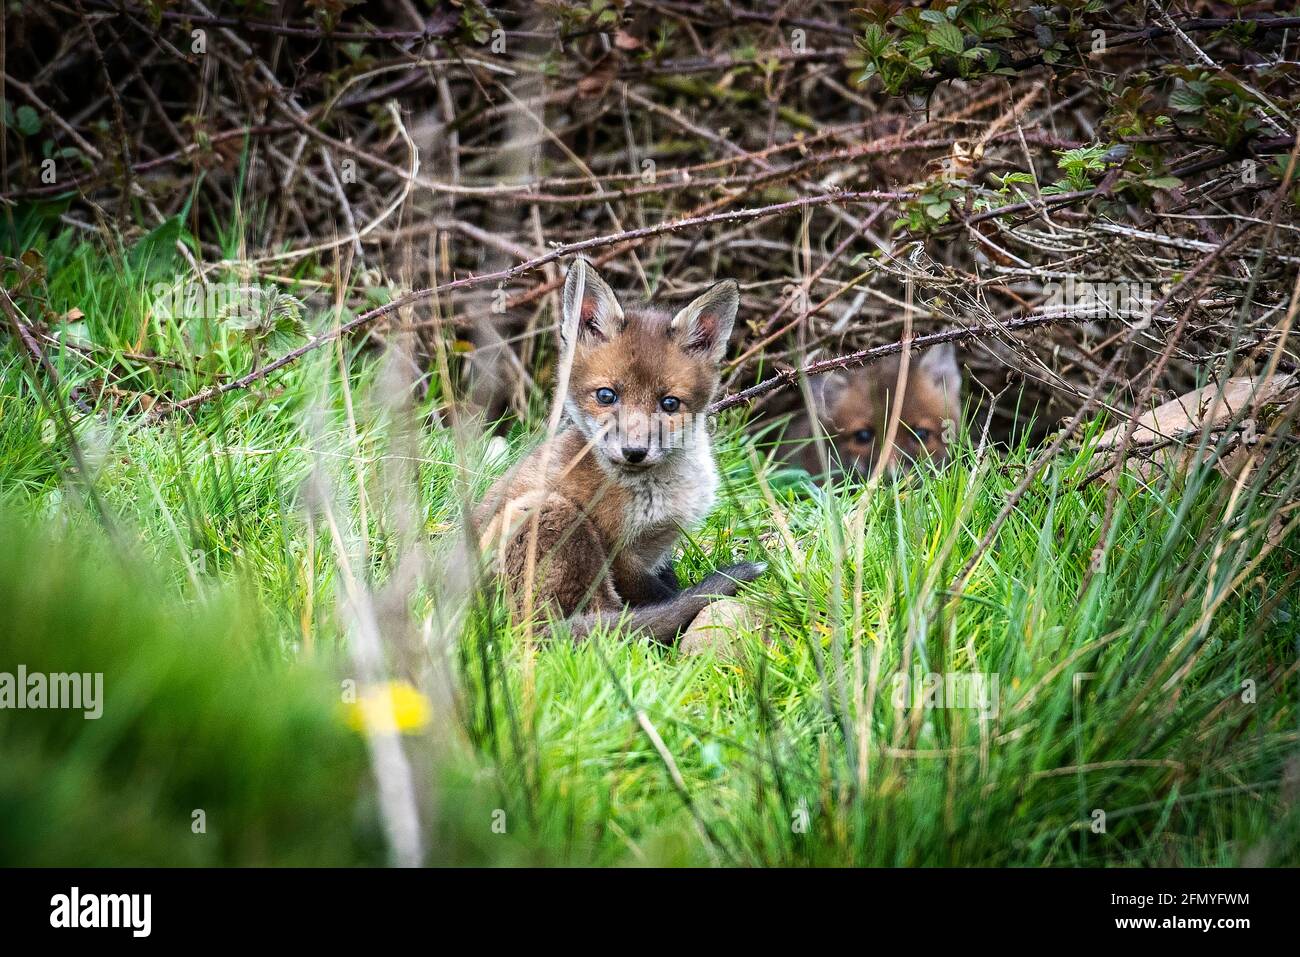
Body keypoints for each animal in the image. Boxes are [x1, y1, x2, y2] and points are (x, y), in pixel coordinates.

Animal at [473, 258, 765, 643]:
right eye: (606, 395)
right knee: (599, 628)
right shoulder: (619, 552)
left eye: (669, 403)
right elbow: (657, 596)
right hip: (549, 516)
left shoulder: (659, 549)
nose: (634, 451)